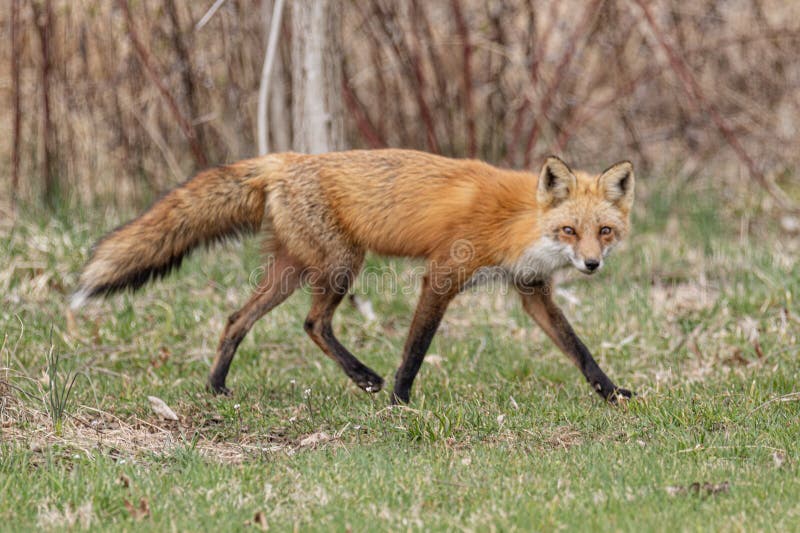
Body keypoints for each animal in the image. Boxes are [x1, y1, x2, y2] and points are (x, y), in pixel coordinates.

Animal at [71, 149, 635, 404]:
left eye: (604, 231)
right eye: (569, 230)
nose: (592, 264)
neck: (518, 223)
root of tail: (284, 159)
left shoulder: (531, 289)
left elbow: (578, 348)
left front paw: (611, 393)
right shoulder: (442, 275)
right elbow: (416, 347)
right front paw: (401, 399)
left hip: (294, 269)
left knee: (237, 319)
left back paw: (216, 387)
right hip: (342, 264)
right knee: (313, 324)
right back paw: (365, 376)